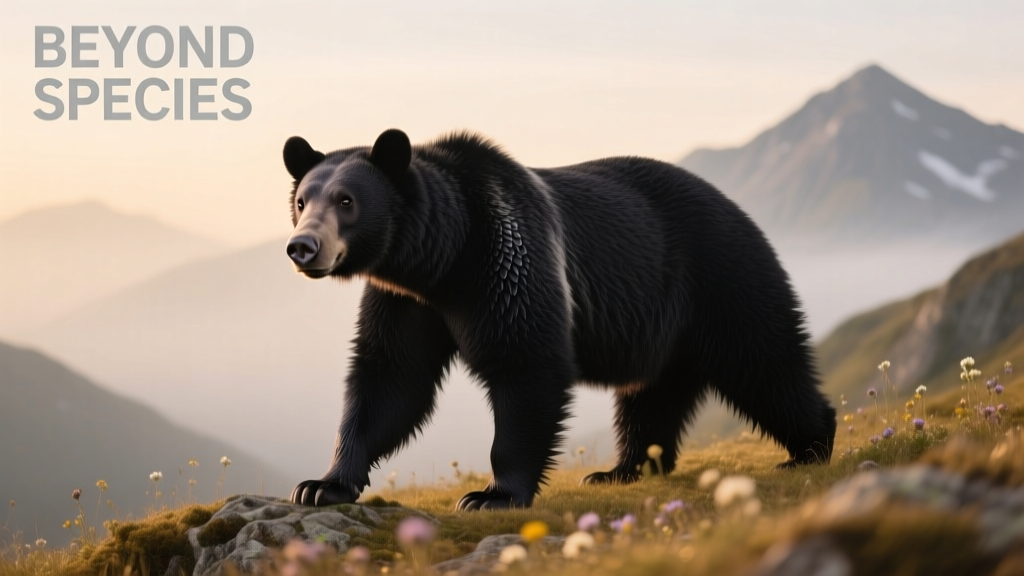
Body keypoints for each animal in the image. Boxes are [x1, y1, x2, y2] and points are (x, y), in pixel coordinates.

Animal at [283, 129, 836, 510]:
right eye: (302, 200)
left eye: (347, 201)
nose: (302, 247)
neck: (442, 259)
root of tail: (735, 204)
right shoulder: (406, 301)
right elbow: (391, 378)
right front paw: (321, 485)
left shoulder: (507, 258)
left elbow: (526, 365)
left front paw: (492, 494)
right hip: (664, 324)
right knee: (651, 393)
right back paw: (622, 468)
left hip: (722, 275)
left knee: (764, 358)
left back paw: (811, 445)